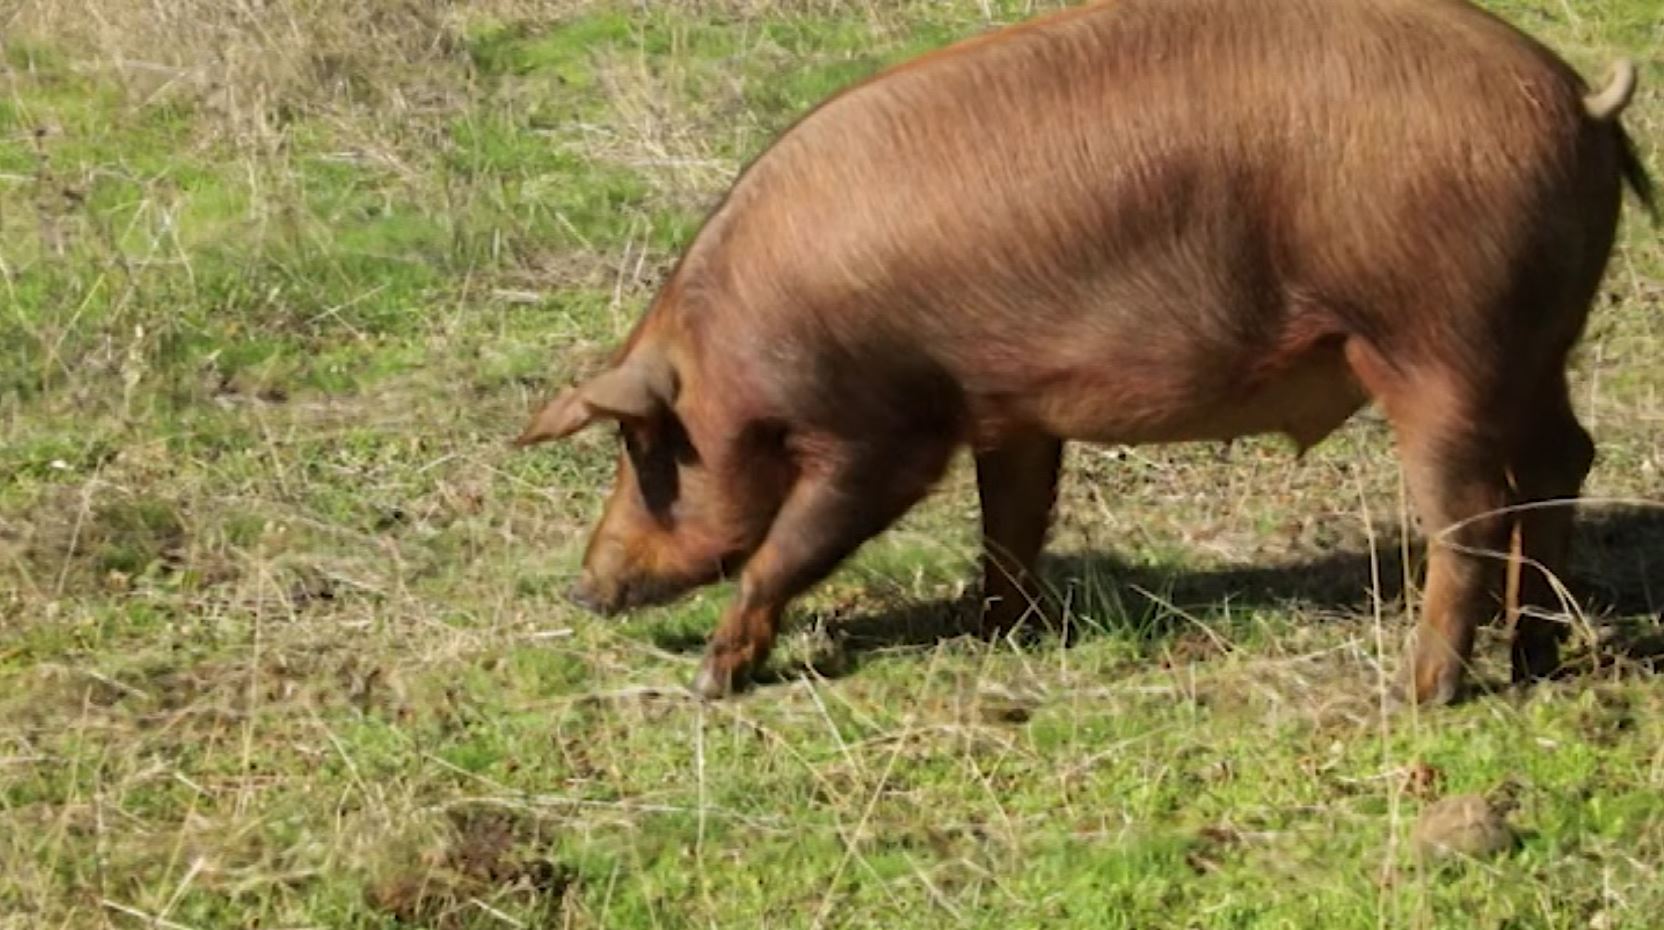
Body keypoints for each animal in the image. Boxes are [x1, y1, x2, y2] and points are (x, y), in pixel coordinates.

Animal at [515, 0, 1656, 703]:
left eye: (643, 450)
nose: (581, 588)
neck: (751, 343)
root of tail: (1576, 98)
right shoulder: (1010, 410)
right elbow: (1011, 521)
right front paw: (996, 629)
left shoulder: (883, 432)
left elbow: (792, 545)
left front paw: (709, 683)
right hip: (1531, 342)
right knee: (1563, 456)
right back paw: (1536, 654)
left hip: (1436, 341)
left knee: (1470, 511)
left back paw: (1421, 694)